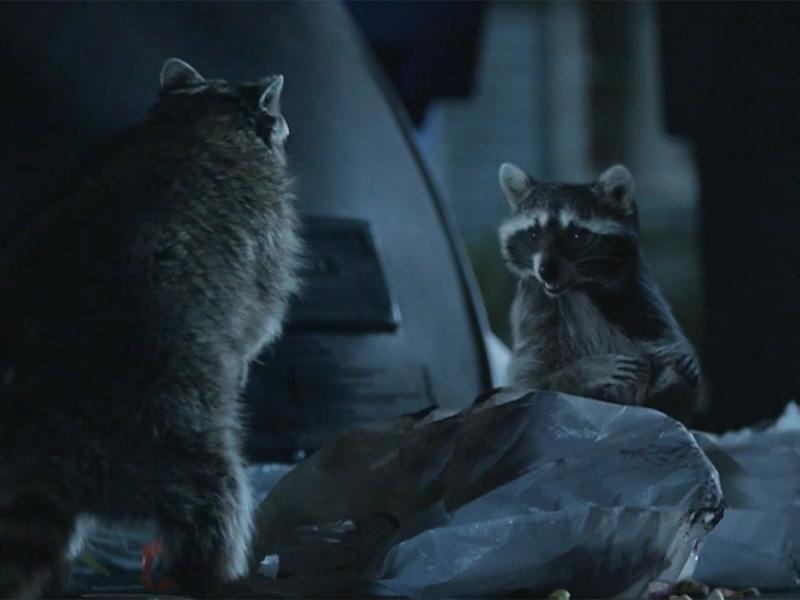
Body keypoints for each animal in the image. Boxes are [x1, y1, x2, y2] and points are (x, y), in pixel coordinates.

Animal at [0, 58, 301, 597]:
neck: (199, 114)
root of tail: (45, 429)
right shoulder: (270, 229)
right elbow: (262, 315)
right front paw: (248, 355)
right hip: (168, 430)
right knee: (216, 496)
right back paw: (215, 571)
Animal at [497, 162, 700, 421]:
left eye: (576, 235)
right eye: (534, 234)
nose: (546, 271)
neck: (579, 286)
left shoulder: (643, 298)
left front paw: (671, 382)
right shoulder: (534, 311)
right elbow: (529, 382)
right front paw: (587, 370)